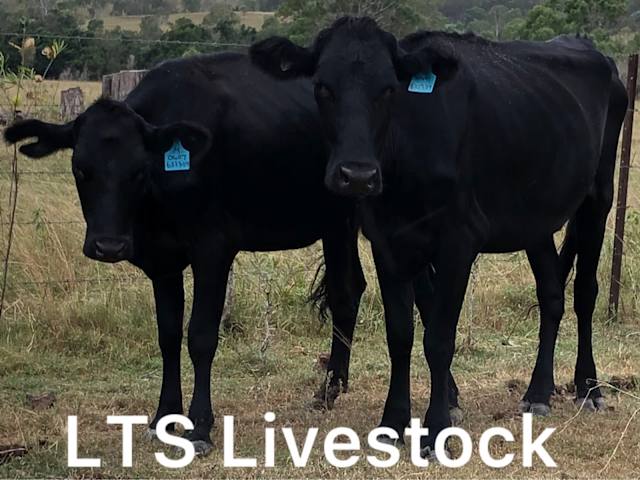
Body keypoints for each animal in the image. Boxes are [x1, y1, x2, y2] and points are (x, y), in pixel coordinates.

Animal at [4, 53, 368, 455]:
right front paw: (163, 417)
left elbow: (200, 336)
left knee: (345, 292)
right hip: (336, 224)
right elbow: (168, 336)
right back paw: (331, 390)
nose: (109, 245)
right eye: (80, 169)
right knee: (349, 291)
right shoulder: (161, 262)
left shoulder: (213, 249)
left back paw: (330, 387)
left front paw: (200, 427)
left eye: (138, 171)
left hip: (345, 221)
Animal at [250, 17, 628, 456]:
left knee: (585, 291)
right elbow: (400, 334)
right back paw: (538, 391)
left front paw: (435, 430)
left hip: (599, 195)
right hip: (535, 218)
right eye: (323, 87)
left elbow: (439, 339)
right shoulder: (387, 241)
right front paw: (392, 423)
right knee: (551, 294)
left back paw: (589, 387)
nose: (357, 175)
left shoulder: (458, 242)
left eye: (389, 88)